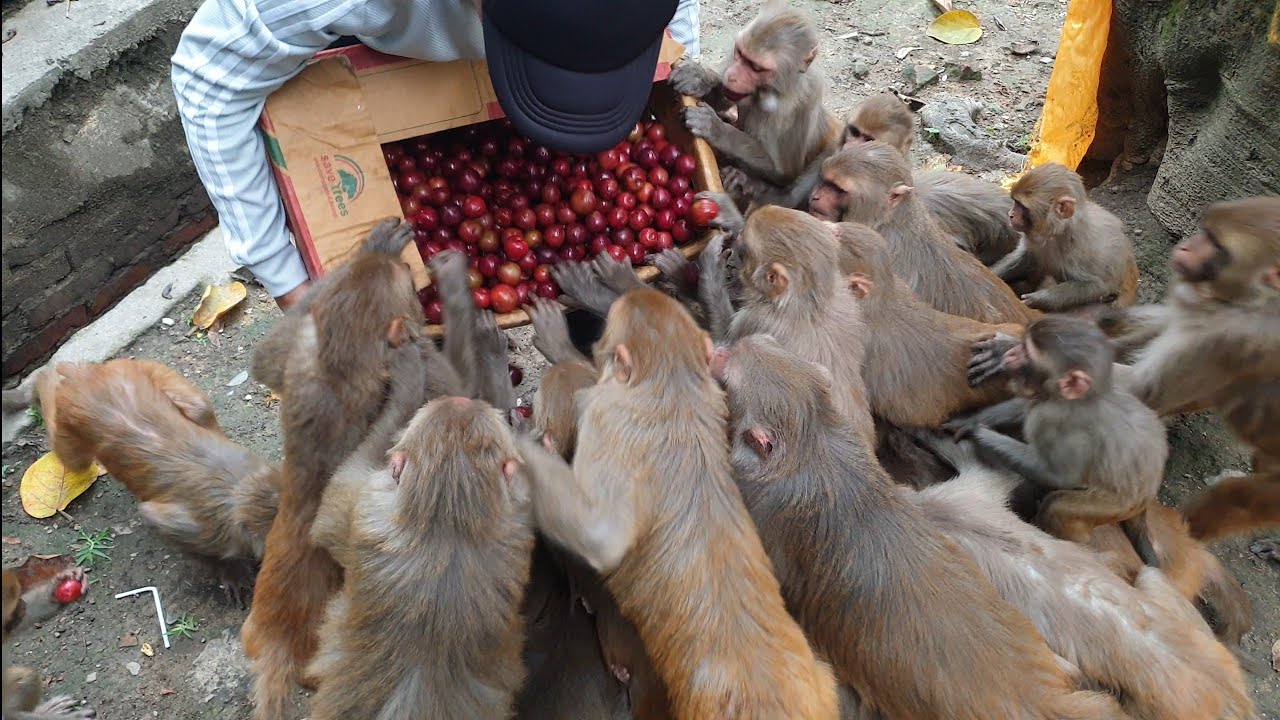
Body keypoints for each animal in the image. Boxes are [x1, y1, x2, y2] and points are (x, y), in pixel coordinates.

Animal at [5, 359, 277, 606]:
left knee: (199, 408)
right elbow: (154, 518)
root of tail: (82, 377)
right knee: (74, 458)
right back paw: (39, 381)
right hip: (69, 419)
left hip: (131, 369)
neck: (247, 491)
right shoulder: (206, 530)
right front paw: (231, 570)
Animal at [240, 218, 434, 720]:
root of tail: (276, 643)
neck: (336, 374)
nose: (412, 273)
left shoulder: (300, 363)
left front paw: (371, 246)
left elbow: (265, 361)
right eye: (411, 286)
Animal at [670, 1, 841, 197]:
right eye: (740, 53)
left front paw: (716, 129)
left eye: (756, 67)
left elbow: (786, 172)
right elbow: (724, 97)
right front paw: (700, 78)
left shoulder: (795, 106)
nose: (732, 76)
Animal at [947, 316, 1167, 565]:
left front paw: (976, 432)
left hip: (1117, 504)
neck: (1086, 397)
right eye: (1022, 346)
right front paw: (971, 420)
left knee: (1058, 506)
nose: (1011, 355)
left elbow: (1058, 475)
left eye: (1027, 354)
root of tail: (1148, 493)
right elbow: (1025, 407)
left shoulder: (1053, 418)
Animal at [993, 163, 1139, 312]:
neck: (1056, 234)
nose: (1010, 214)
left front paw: (1039, 298)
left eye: (1021, 206)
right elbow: (1027, 256)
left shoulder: (1078, 252)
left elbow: (1097, 286)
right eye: (1015, 202)